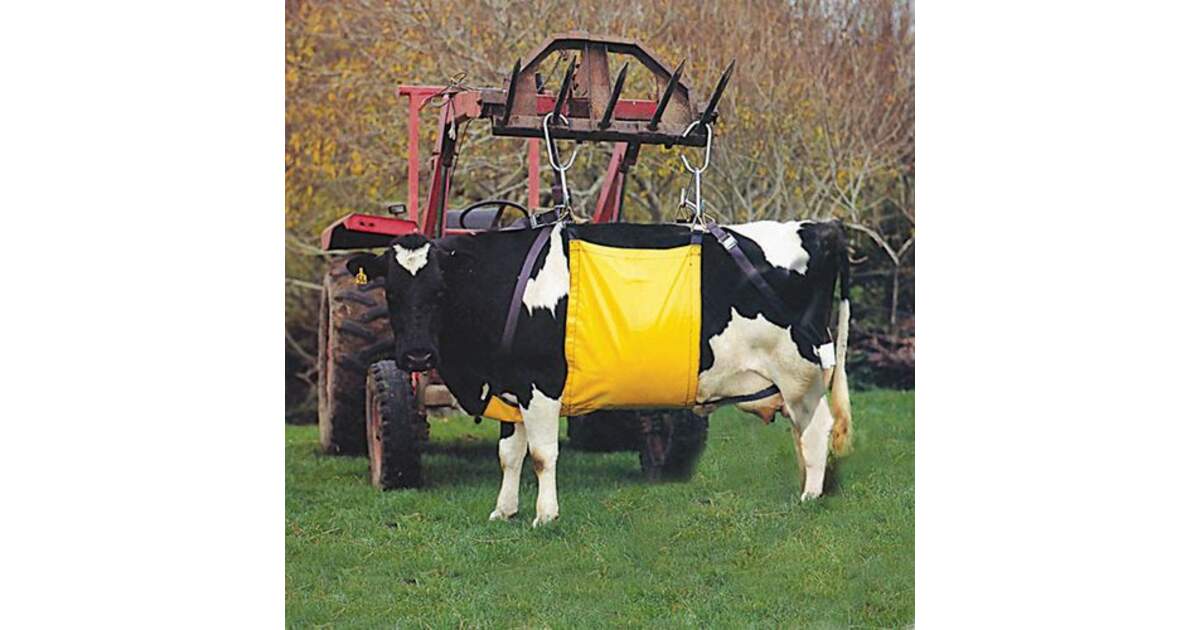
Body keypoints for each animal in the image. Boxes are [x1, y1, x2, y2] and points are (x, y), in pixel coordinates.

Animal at [347, 220, 852, 527]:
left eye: (440, 291)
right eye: (390, 293)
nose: (415, 357)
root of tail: (822, 227)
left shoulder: (541, 384)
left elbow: (542, 455)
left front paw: (545, 516)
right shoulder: (512, 388)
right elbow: (509, 456)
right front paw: (503, 511)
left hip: (801, 371)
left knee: (817, 429)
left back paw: (811, 496)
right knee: (803, 434)